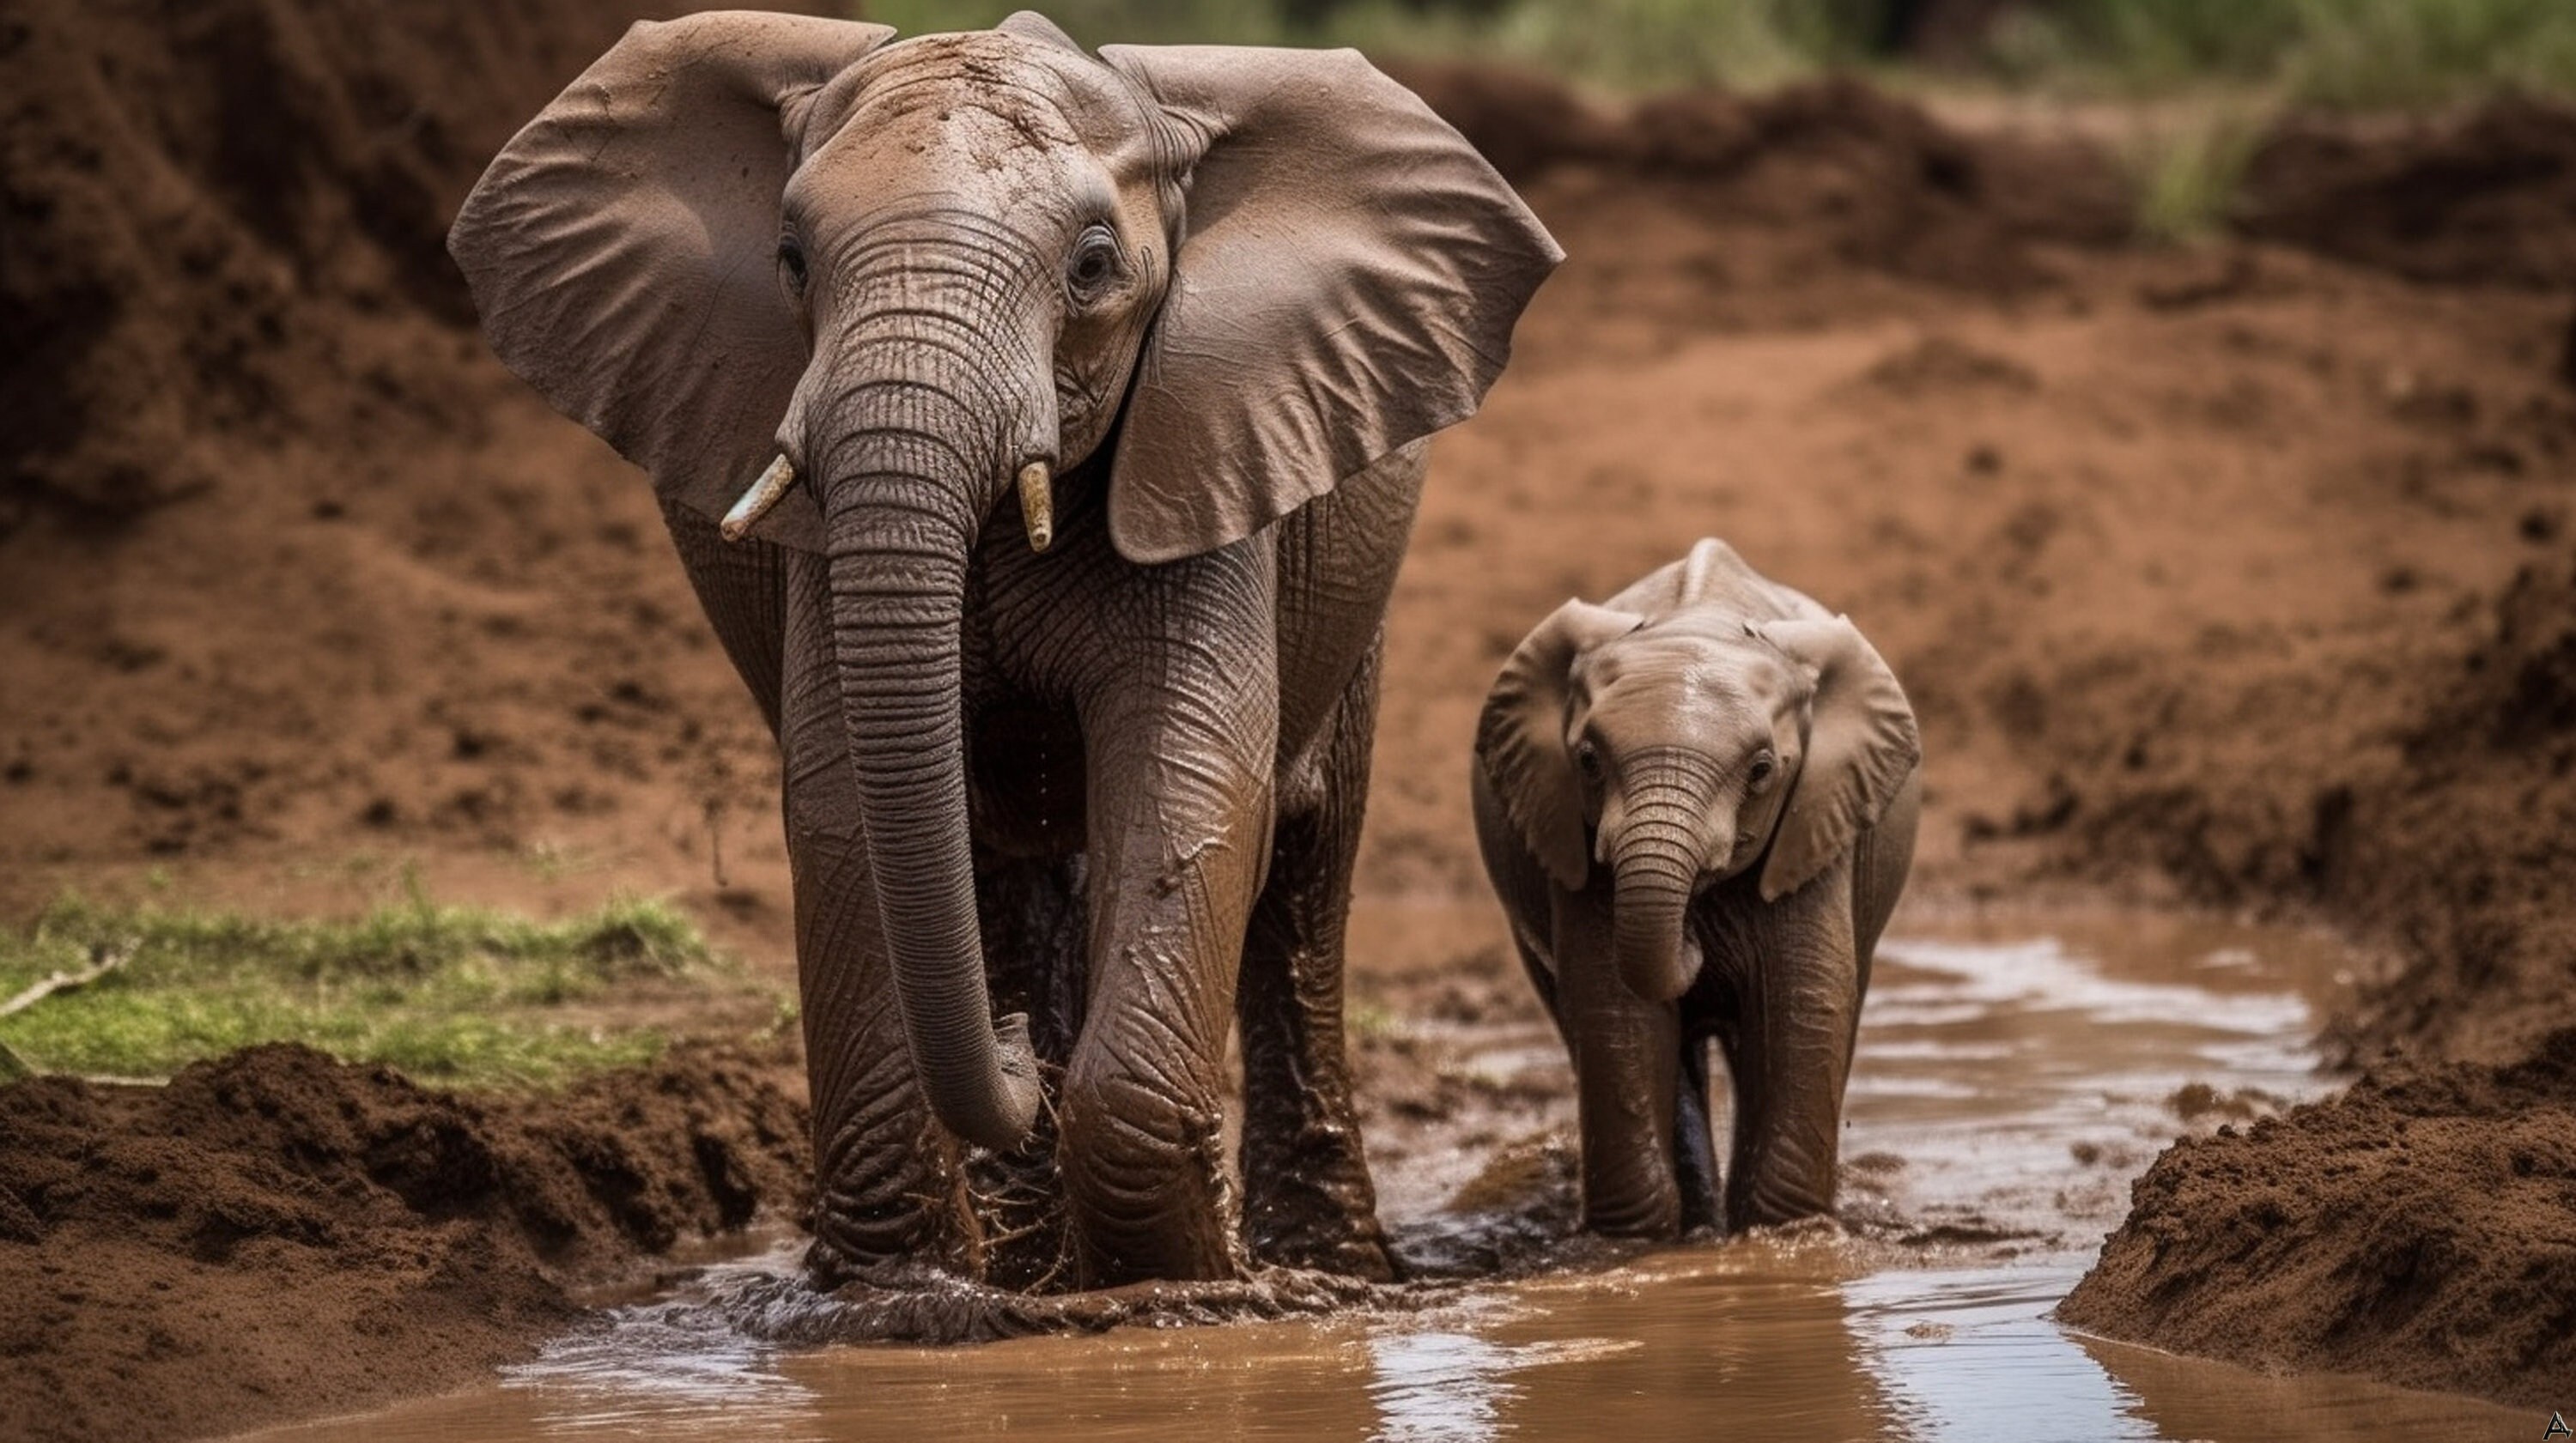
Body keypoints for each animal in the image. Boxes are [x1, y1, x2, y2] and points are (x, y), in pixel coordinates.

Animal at [447, 10, 1559, 1289]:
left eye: (1093, 266)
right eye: (790, 260)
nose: (1018, 1055)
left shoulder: (1202, 454)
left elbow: (1191, 788)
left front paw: (1176, 1280)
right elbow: (842, 807)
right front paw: (902, 1290)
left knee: (1304, 865)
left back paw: (1324, 1265)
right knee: (997, 866)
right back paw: (1033, 1245)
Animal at [1470, 538, 1920, 1238]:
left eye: (1762, 771)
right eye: (1588, 761)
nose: (1696, 944)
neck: (1699, 622)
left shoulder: (1819, 828)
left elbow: (1805, 1003)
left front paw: (1786, 1237)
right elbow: (1615, 1014)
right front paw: (1631, 1242)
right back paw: (1699, 1227)